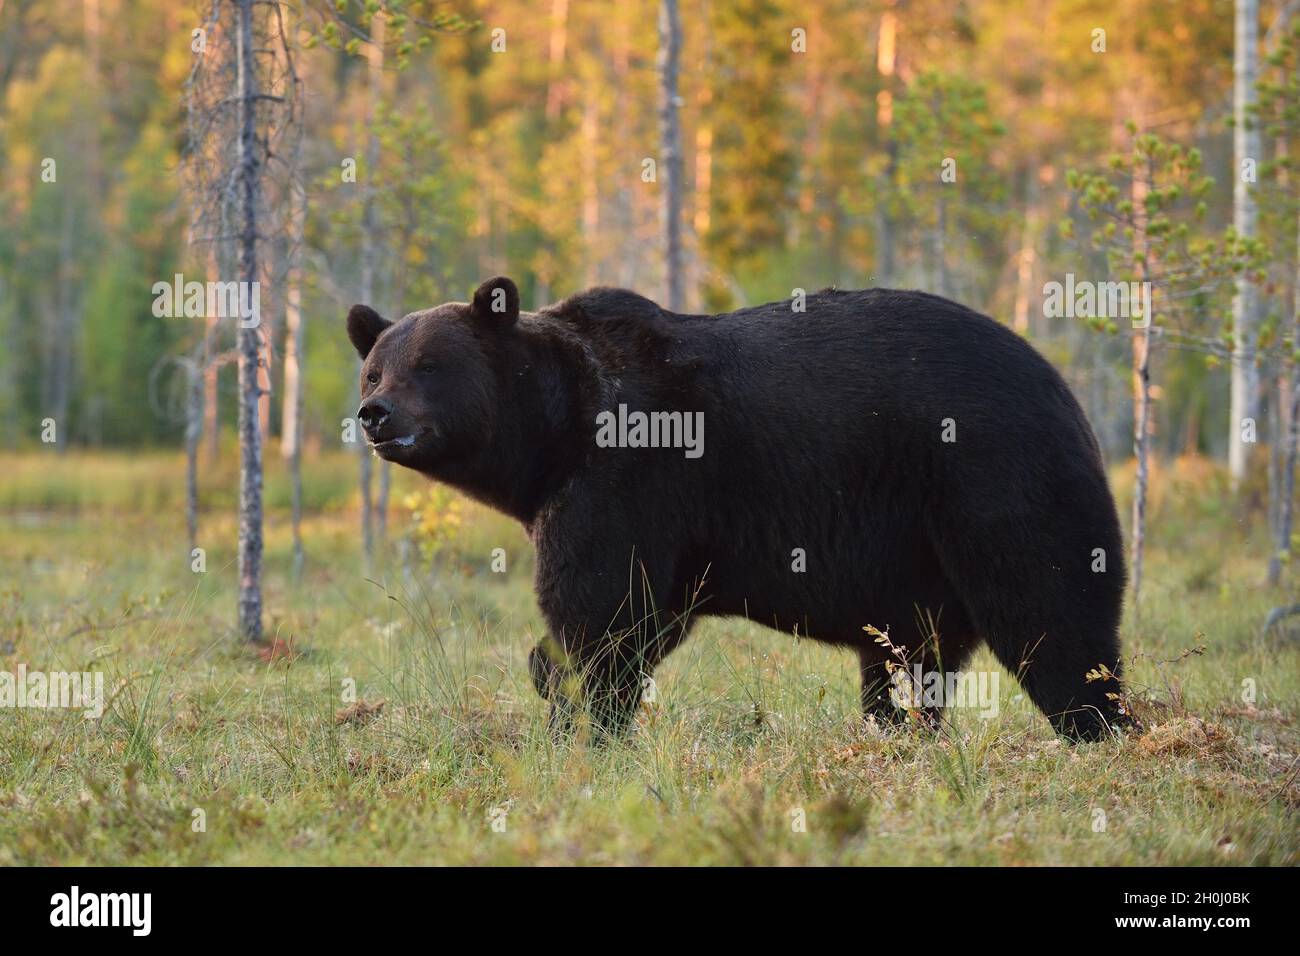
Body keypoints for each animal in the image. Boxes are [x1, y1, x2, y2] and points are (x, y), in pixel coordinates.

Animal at [347, 276, 1129, 742]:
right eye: (376, 367)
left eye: (428, 366)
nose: (374, 414)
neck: (553, 432)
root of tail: (1061, 387)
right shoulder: (662, 526)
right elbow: (643, 616)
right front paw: (570, 692)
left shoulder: (628, 475)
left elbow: (598, 606)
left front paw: (583, 712)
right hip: (921, 549)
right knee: (914, 654)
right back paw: (902, 728)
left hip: (991, 479)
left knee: (1051, 614)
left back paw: (1099, 726)